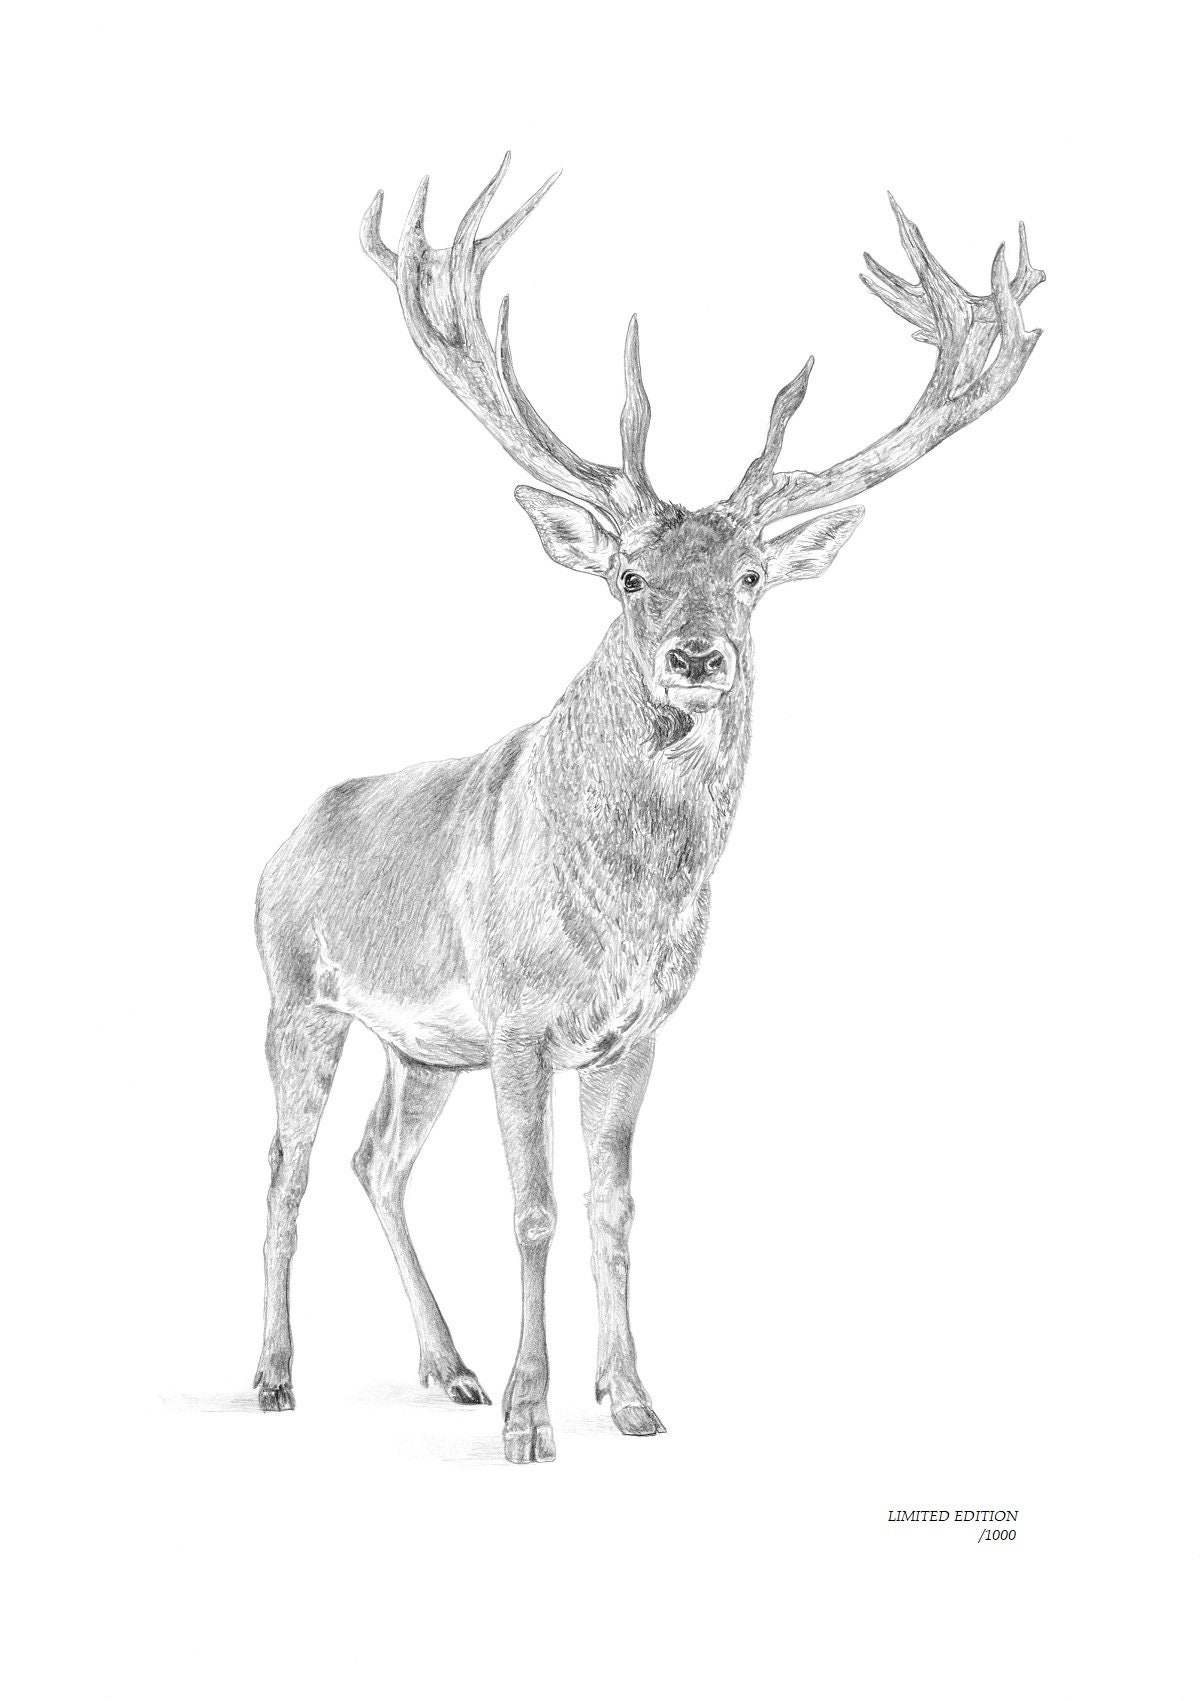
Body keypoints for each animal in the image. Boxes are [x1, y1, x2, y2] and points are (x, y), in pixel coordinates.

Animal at [253, 156, 1044, 1462]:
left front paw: (630, 1400)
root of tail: (281, 840)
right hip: (297, 995)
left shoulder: (637, 1033)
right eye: (629, 575)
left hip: (424, 1046)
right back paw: (277, 1378)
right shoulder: (522, 1020)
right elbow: (533, 1208)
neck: (625, 907)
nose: (697, 656)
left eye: (753, 575)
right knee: (287, 1163)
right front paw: (531, 1421)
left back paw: (447, 1367)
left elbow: (617, 1204)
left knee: (377, 1161)